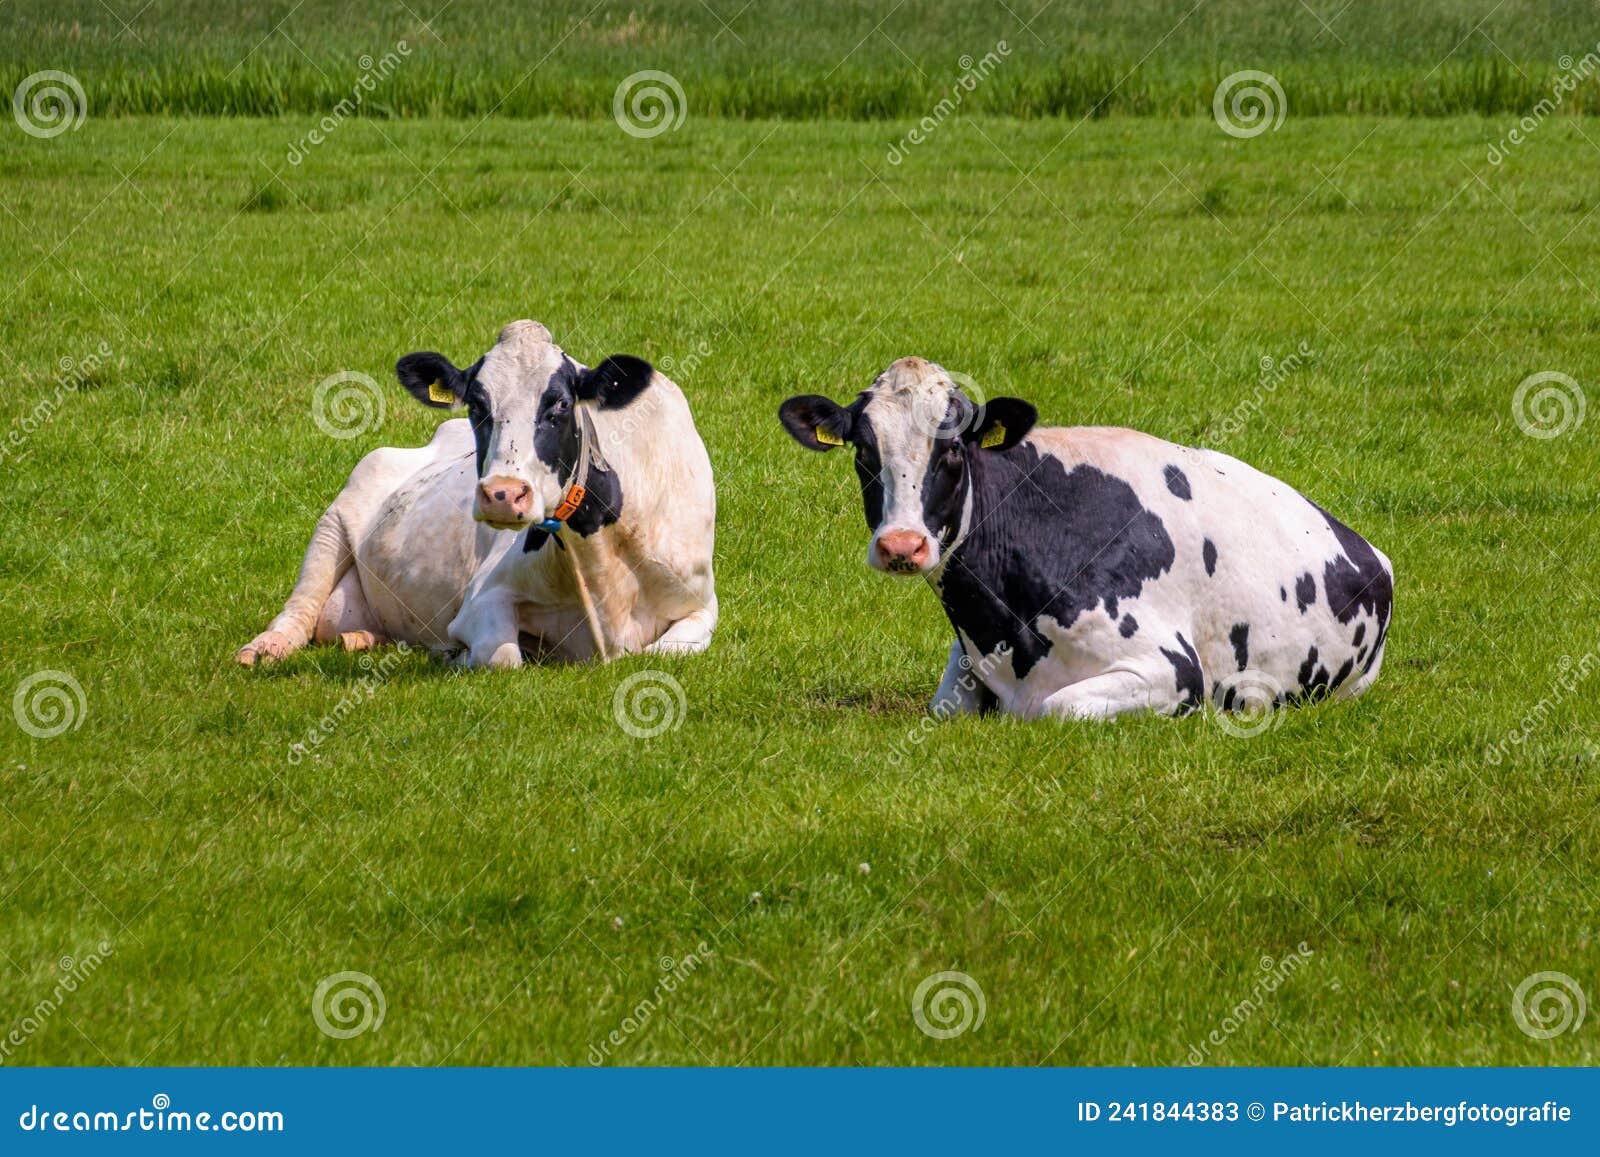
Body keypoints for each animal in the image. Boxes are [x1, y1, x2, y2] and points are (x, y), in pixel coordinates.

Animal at [236, 320, 717, 668]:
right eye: (477, 405)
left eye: (559, 405)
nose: (502, 494)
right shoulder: (483, 596)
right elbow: (502, 655)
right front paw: (455, 654)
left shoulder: (702, 605)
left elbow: (663, 652)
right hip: (338, 514)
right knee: (300, 607)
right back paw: (264, 648)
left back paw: (361, 638)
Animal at [778, 356, 1392, 721]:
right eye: (862, 452)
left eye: (952, 450)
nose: (902, 546)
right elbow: (944, 707)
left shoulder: (1173, 669)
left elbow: (1059, 708)